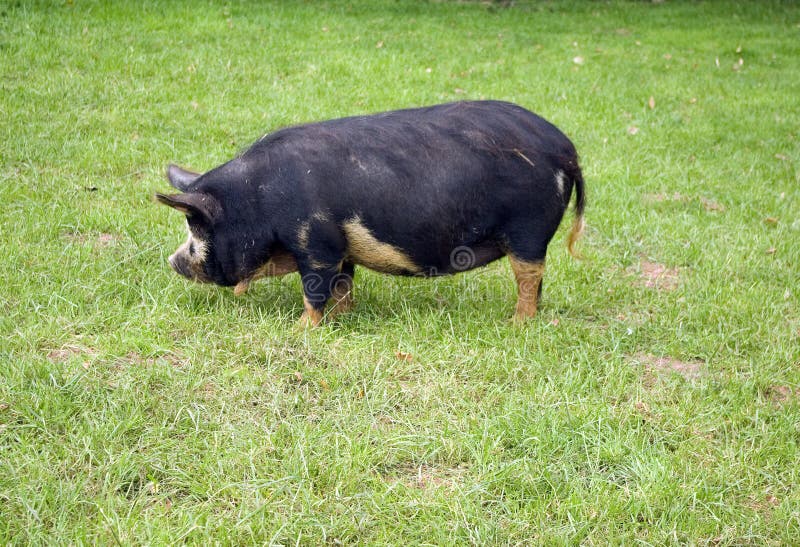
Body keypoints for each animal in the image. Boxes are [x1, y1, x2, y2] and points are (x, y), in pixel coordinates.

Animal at [156, 100, 585, 326]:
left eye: (197, 227)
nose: (173, 261)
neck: (258, 201)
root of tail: (567, 149)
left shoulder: (316, 241)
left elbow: (315, 287)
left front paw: (301, 329)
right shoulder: (343, 247)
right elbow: (344, 283)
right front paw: (343, 318)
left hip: (529, 228)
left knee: (529, 275)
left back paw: (518, 322)